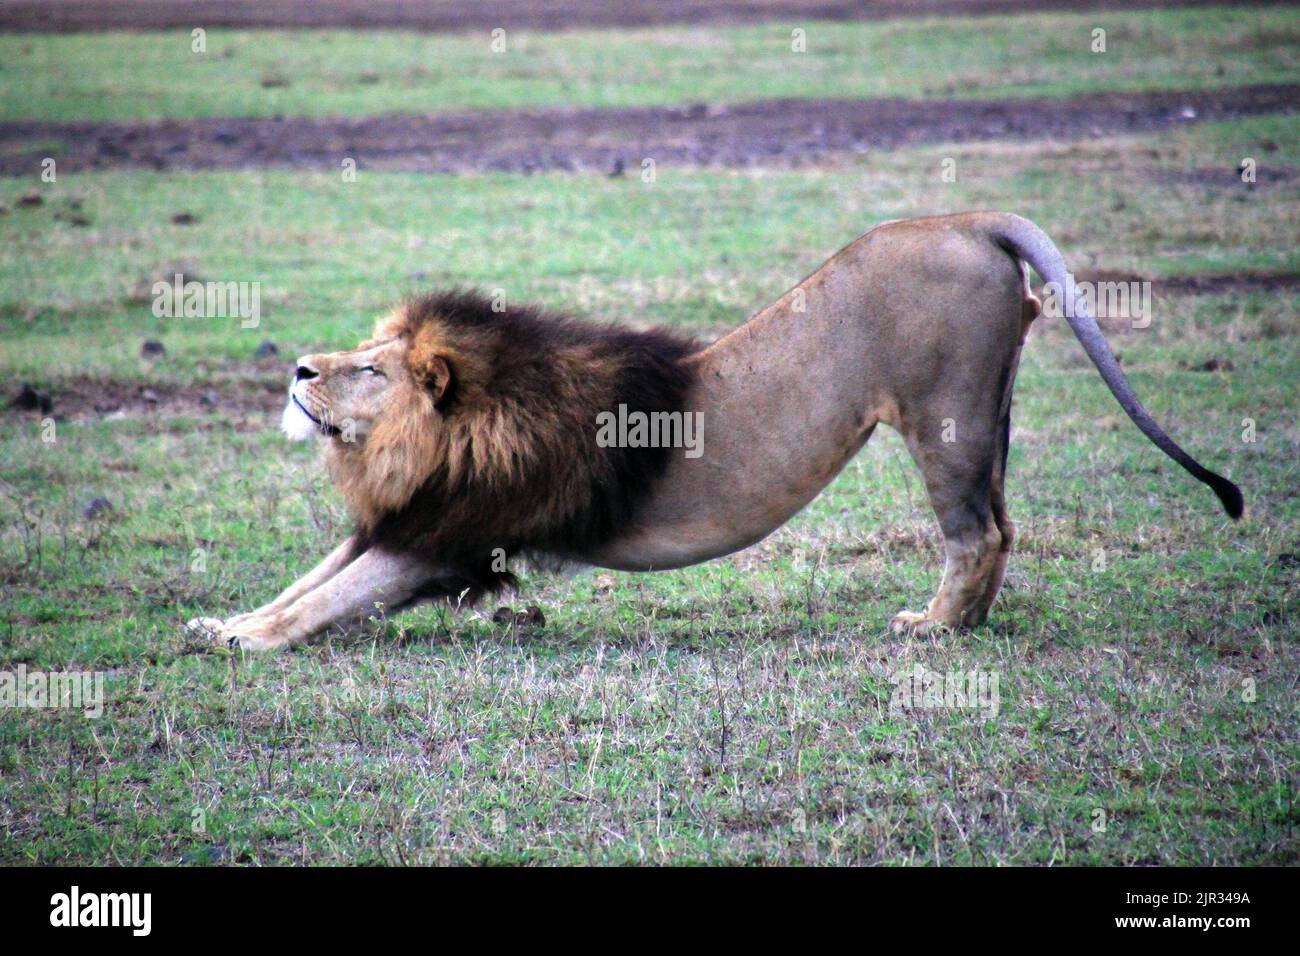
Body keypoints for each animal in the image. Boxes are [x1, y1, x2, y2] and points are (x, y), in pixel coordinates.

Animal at [186, 212, 1243, 651]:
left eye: (371, 369)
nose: (300, 369)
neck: (441, 438)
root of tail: (974, 219)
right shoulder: (411, 516)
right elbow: (307, 580)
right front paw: (218, 620)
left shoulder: (451, 538)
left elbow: (324, 601)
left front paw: (244, 642)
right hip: (993, 412)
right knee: (1004, 527)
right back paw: (968, 624)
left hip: (942, 417)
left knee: (974, 533)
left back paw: (934, 629)